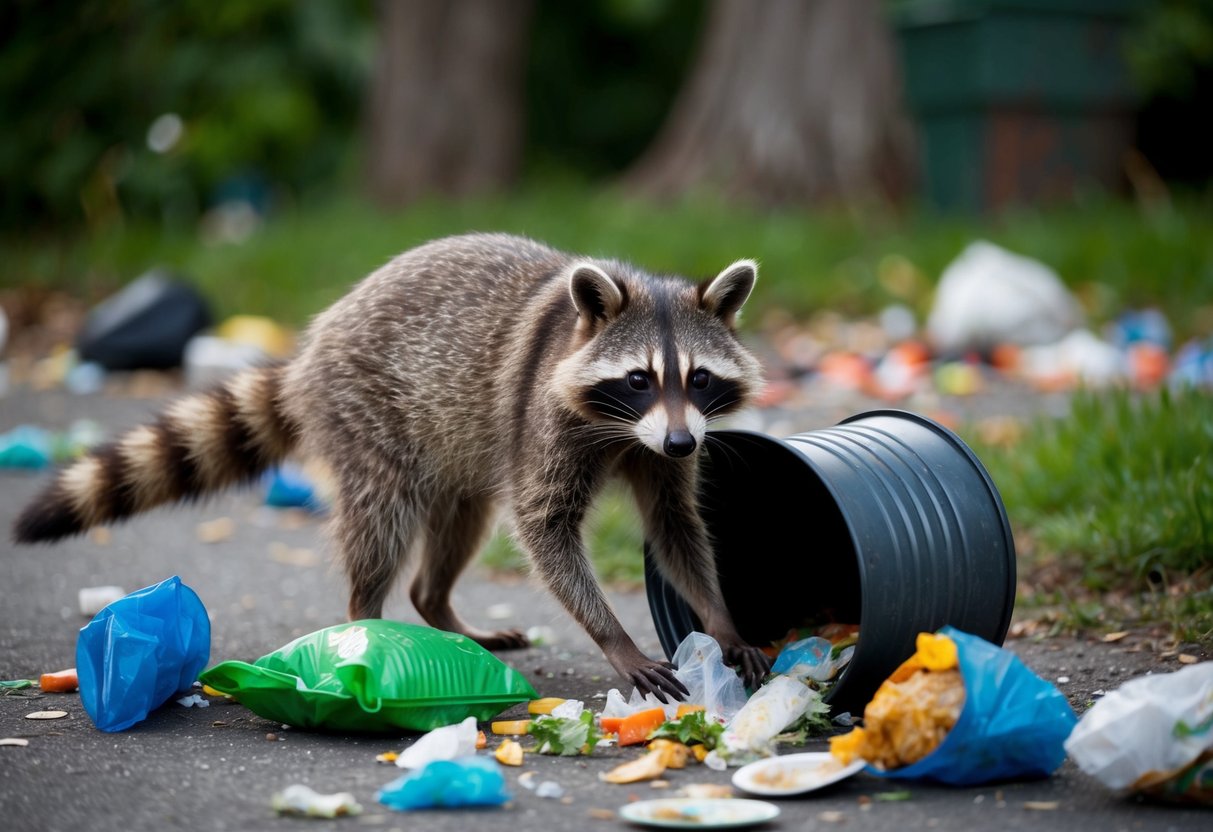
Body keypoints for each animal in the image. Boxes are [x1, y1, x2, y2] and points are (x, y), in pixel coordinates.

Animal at [12, 232, 771, 699]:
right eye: (639, 379)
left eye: (699, 378)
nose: (682, 445)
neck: (626, 431)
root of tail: (310, 353)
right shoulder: (546, 421)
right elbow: (543, 527)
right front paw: (615, 638)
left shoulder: (662, 447)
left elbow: (674, 525)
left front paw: (721, 620)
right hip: (366, 416)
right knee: (380, 526)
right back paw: (366, 620)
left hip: (456, 446)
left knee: (460, 521)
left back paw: (438, 607)